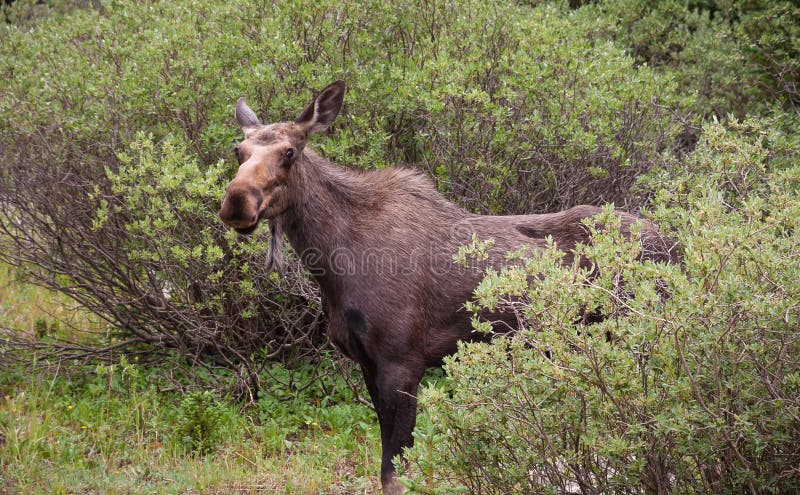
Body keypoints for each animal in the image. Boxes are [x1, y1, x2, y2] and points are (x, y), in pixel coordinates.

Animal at [219, 80, 677, 494]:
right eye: (238, 152)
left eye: (290, 152)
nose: (237, 200)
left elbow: (395, 473)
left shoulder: (403, 362)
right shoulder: (367, 363)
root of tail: (674, 243)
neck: (333, 263)